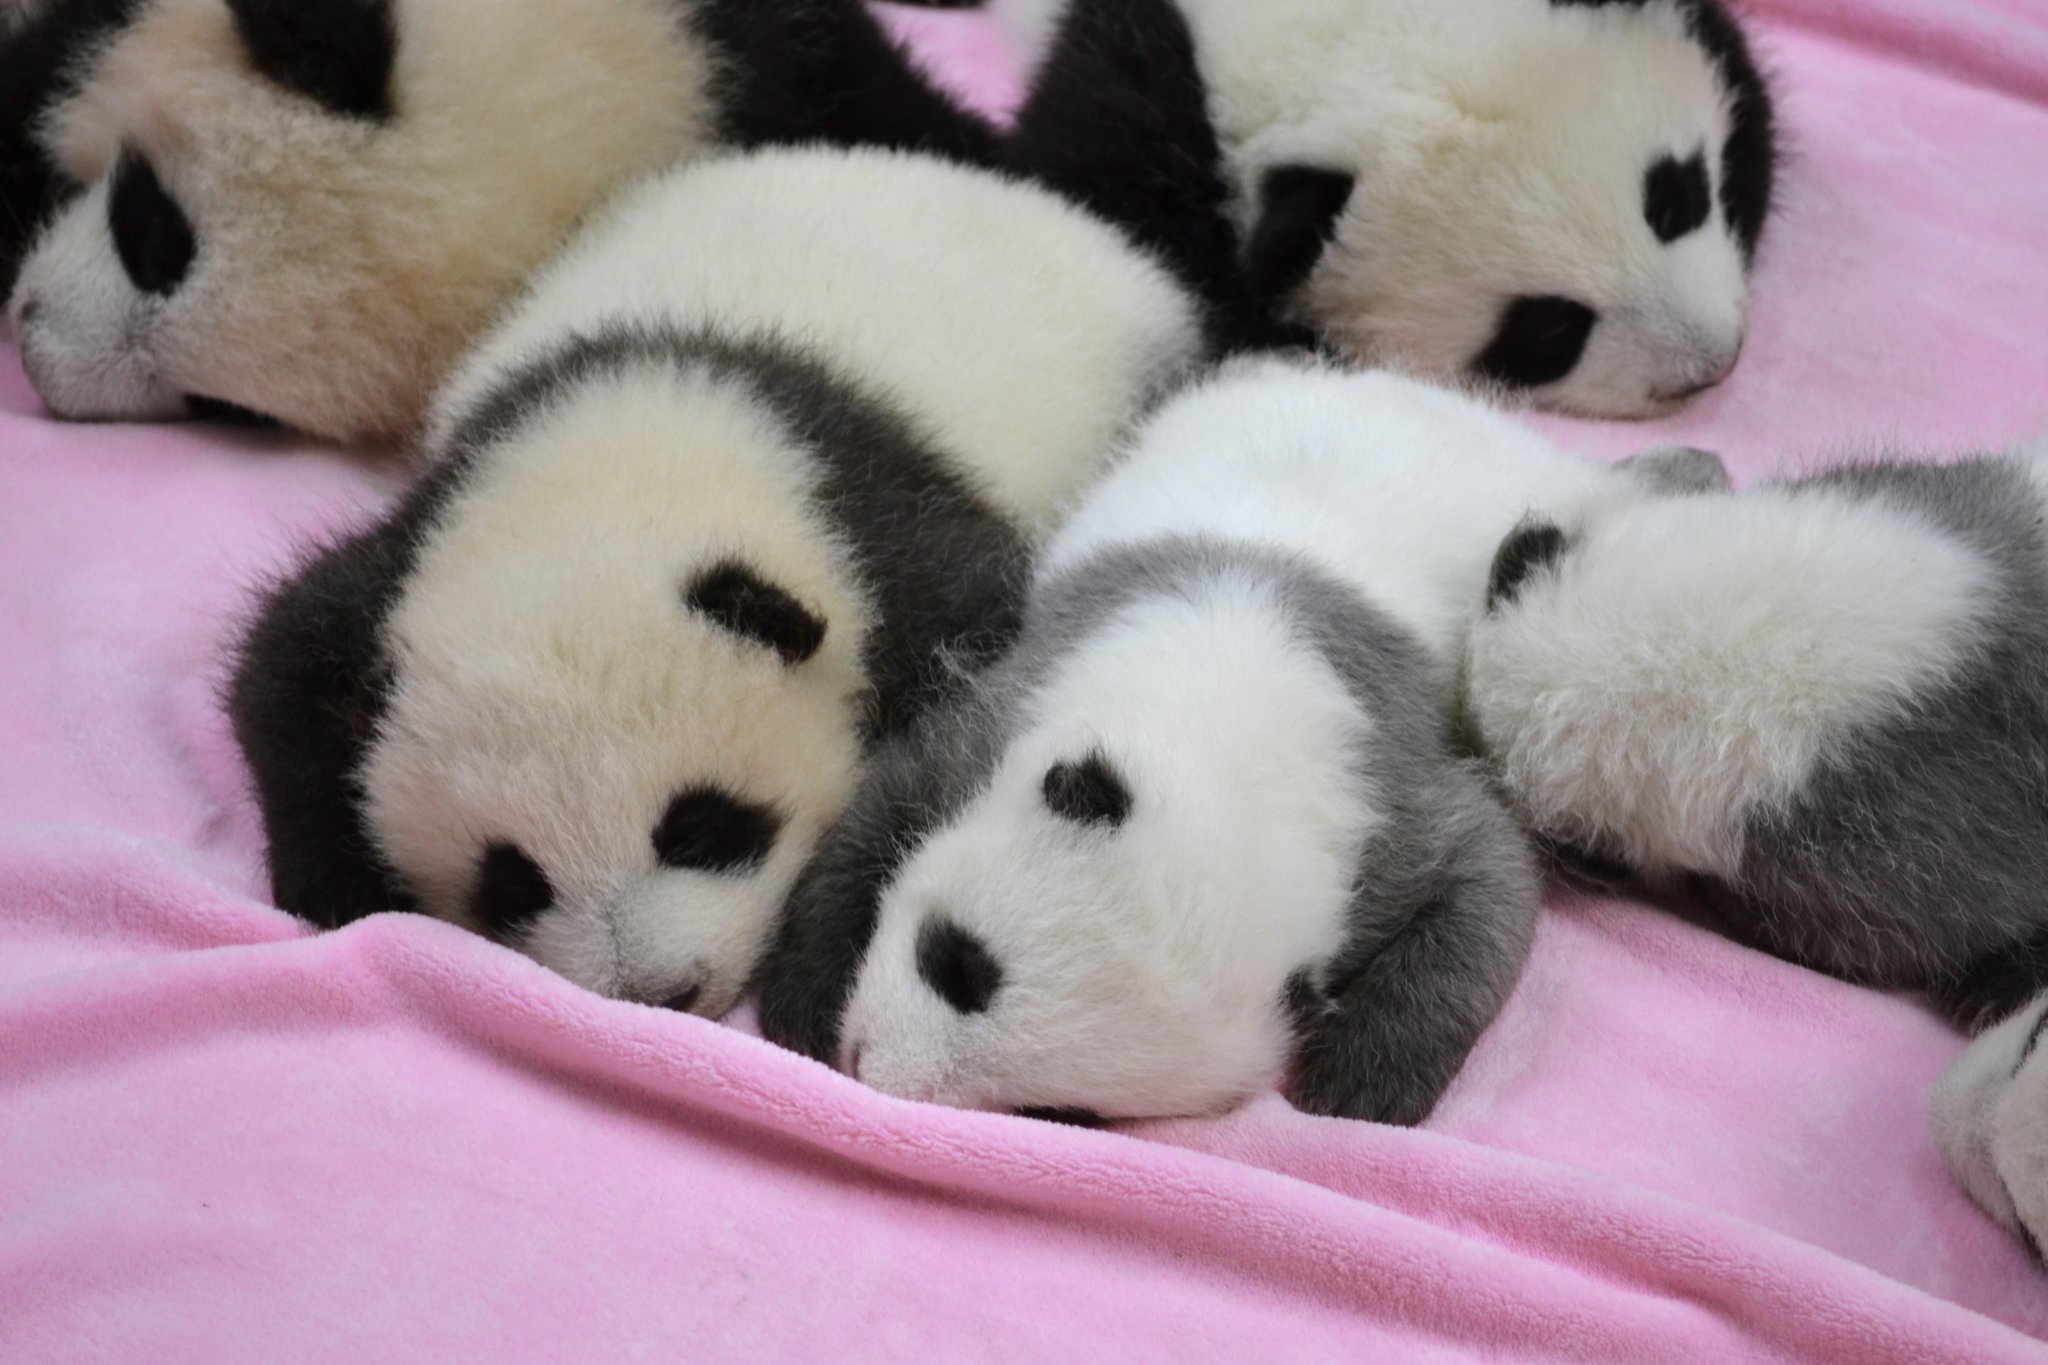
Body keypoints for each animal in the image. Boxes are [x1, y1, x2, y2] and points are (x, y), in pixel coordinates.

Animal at [227, 145, 1204, 1016]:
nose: (661, 992)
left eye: (700, 825)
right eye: (511, 879)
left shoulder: (889, 538)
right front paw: (342, 884)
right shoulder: (432, 520)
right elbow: (282, 662)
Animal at [754, 357, 1727, 1124]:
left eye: (1060, 1112)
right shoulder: (1011, 706)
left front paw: (1359, 1080)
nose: (872, 1071)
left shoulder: (1385, 798)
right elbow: (885, 803)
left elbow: (1491, 881)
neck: (1219, 722)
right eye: (957, 961)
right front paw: (803, 994)